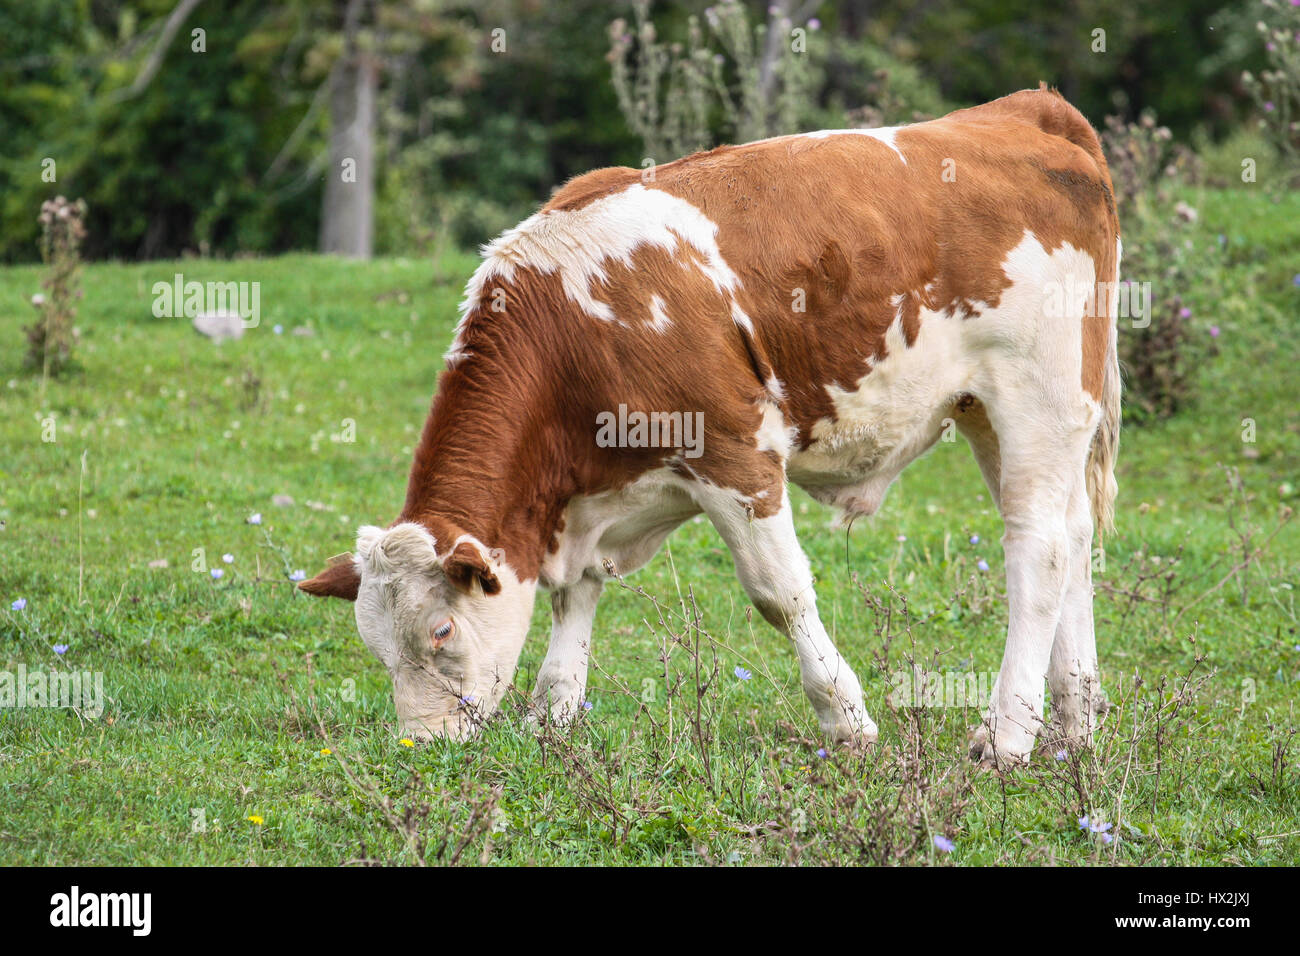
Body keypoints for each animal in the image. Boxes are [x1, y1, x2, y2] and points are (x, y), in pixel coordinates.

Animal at [300, 86, 1121, 767]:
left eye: (440, 631)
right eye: (374, 645)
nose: (420, 745)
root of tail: (1025, 109)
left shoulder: (733, 452)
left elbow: (780, 594)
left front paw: (847, 722)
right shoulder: (592, 498)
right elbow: (576, 596)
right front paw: (552, 715)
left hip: (1039, 395)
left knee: (1040, 548)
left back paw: (1006, 735)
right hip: (987, 411)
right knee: (1074, 536)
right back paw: (1075, 722)